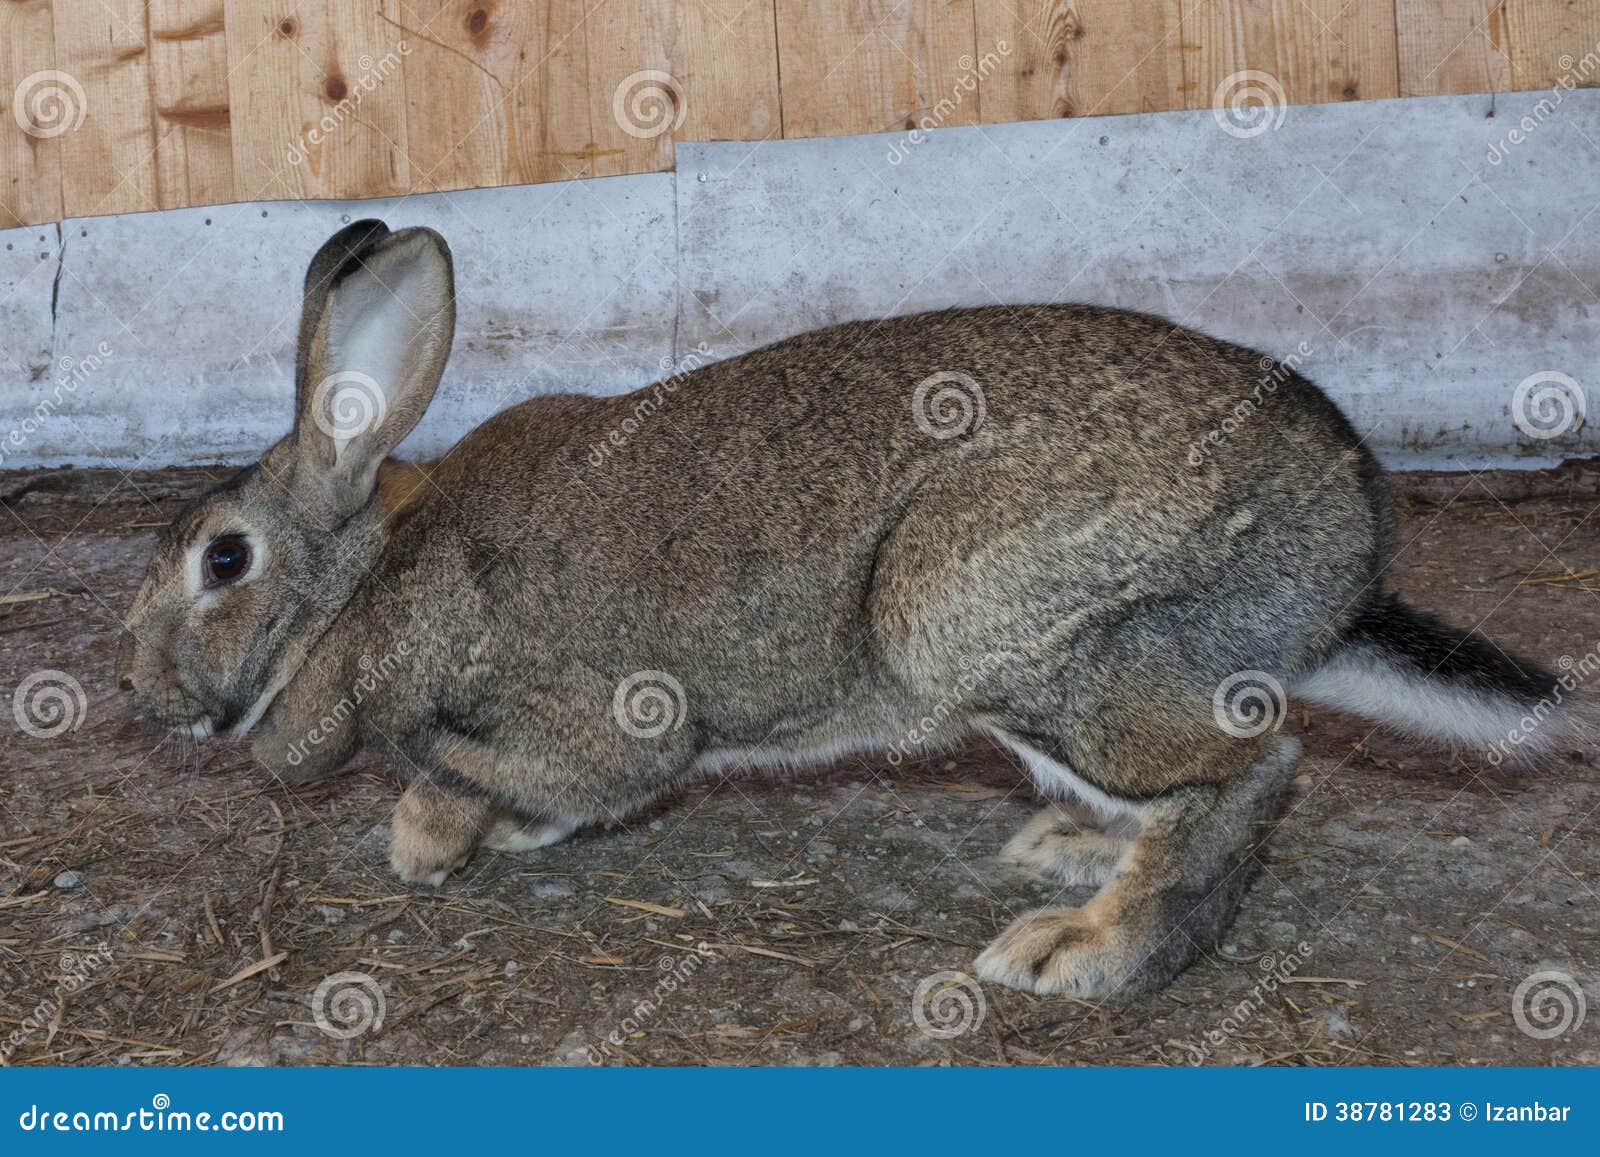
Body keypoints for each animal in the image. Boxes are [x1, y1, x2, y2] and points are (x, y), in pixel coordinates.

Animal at [118, 219, 1584, 999]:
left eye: (223, 562)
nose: (137, 687)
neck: (364, 581)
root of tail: (1347, 545)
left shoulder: (602, 729)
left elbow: (533, 772)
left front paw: (431, 840)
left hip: (968, 617)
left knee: (1252, 762)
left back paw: (1087, 951)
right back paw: (1067, 855)